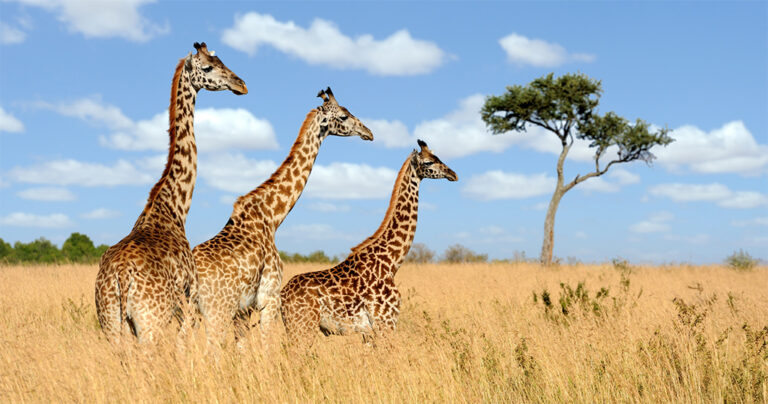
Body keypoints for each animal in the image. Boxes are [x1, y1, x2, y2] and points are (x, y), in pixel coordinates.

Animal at [94, 42, 247, 343]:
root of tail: (120, 276)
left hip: (110, 322)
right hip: (149, 322)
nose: (241, 84)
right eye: (208, 67)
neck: (173, 207)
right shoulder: (189, 301)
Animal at [193, 87, 373, 347]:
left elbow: (242, 348)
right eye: (344, 116)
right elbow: (267, 346)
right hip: (217, 310)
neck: (272, 216)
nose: (368, 132)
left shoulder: (244, 309)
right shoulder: (269, 298)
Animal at [280, 140, 457, 345]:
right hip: (302, 327)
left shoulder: (369, 332)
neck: (391, 263)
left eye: (438, 157)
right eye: (429, 162)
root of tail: (282, 296)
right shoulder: (385, 322)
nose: (453, 174)